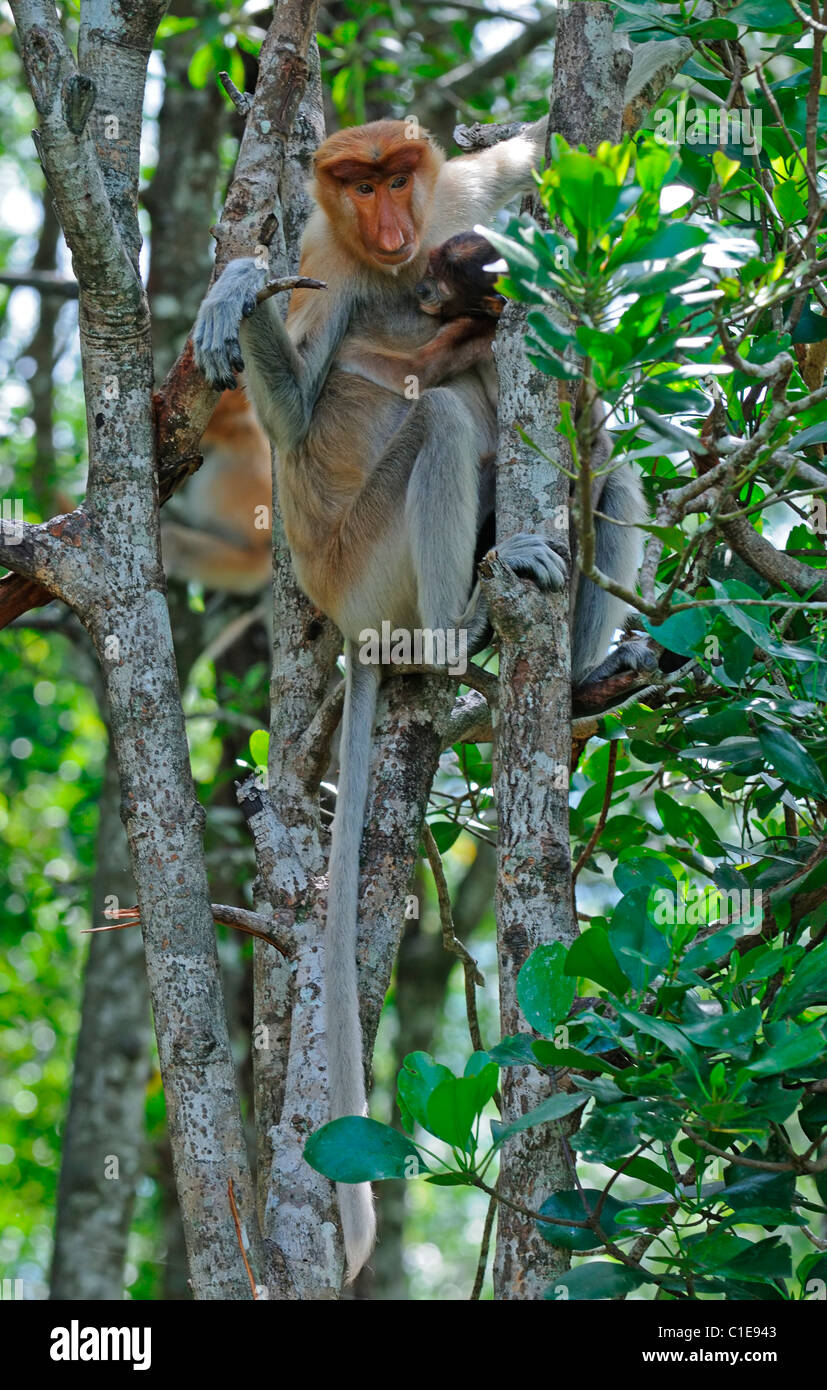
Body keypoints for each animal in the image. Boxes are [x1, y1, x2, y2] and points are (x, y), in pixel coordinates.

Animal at [193, 117, 651, 1281]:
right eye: (356, 187)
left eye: (401, 177)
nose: (396, 224)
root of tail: (350, 624)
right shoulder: (330, 261)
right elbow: (298, 408)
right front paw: (235, 292)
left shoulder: (457, 200)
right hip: (365, 565)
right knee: (439, 422)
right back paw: (462, 631)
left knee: (607, 470)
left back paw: (576, 670)